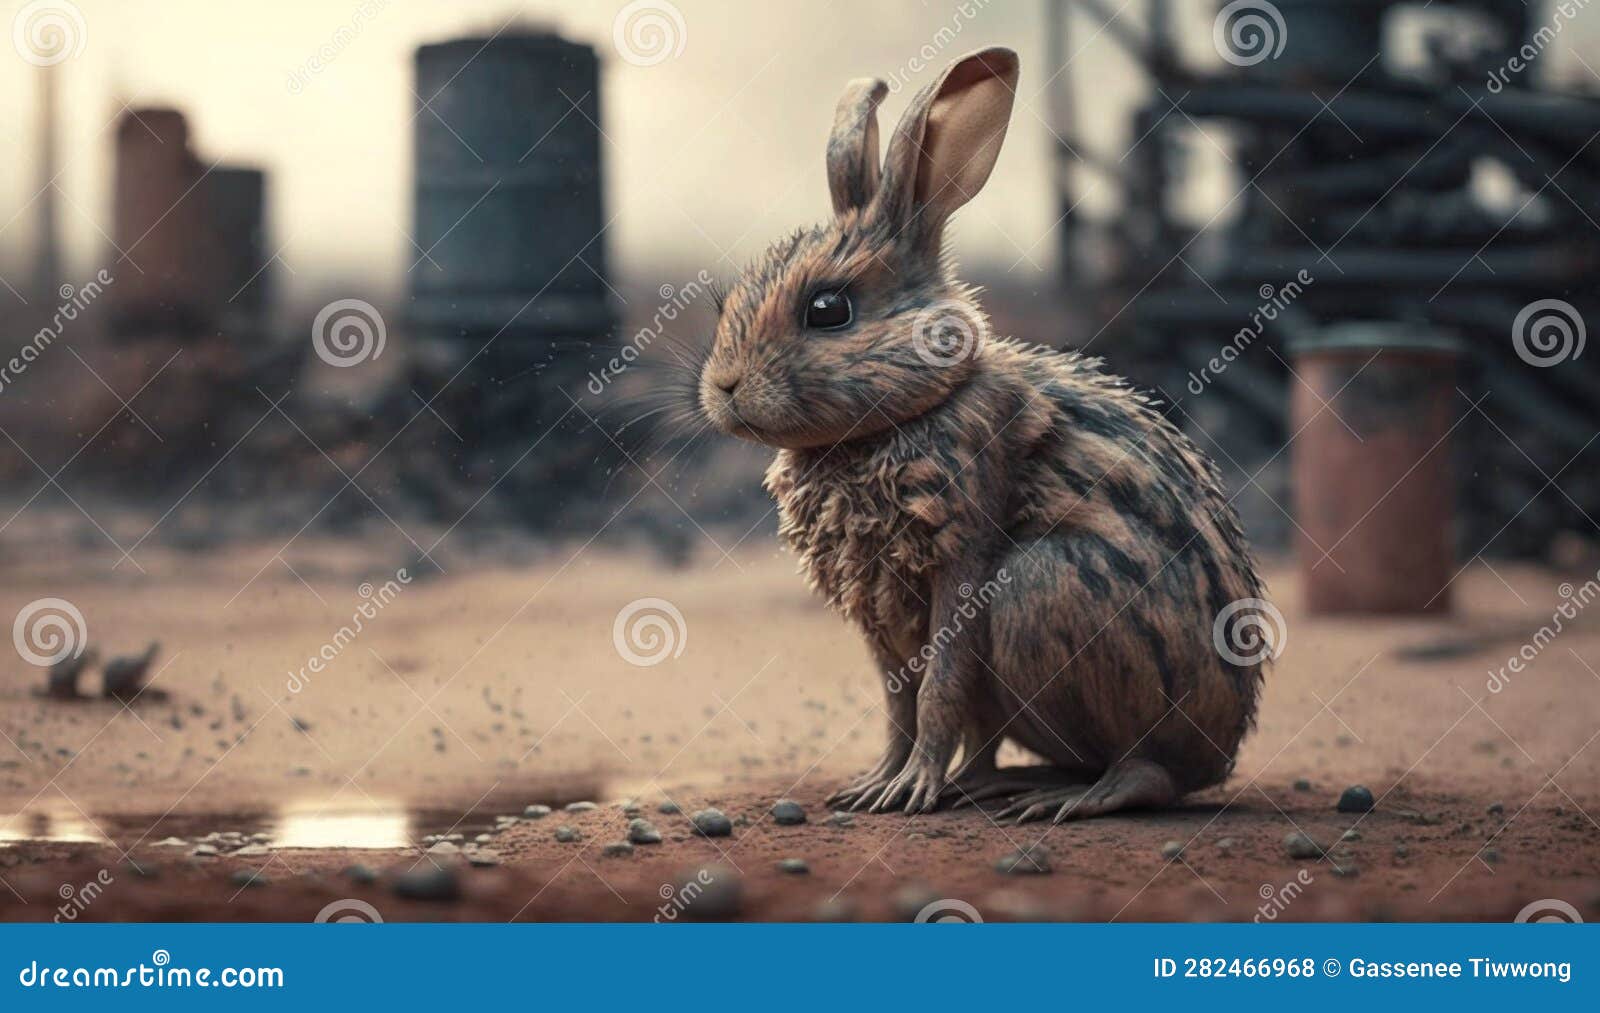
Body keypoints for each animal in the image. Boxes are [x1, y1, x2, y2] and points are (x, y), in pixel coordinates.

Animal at [694, 47, 1268, 822]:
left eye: (828, 309)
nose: (724, 389)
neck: (910, 410)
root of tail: (1222, 753)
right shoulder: (878, 610)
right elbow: (899, 704)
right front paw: (877, 786)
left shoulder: (961, 552)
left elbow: (939, 688)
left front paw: (910, 791)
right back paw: (999, 784)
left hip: (1041, 590)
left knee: (1149, 771)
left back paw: (1067, 799)